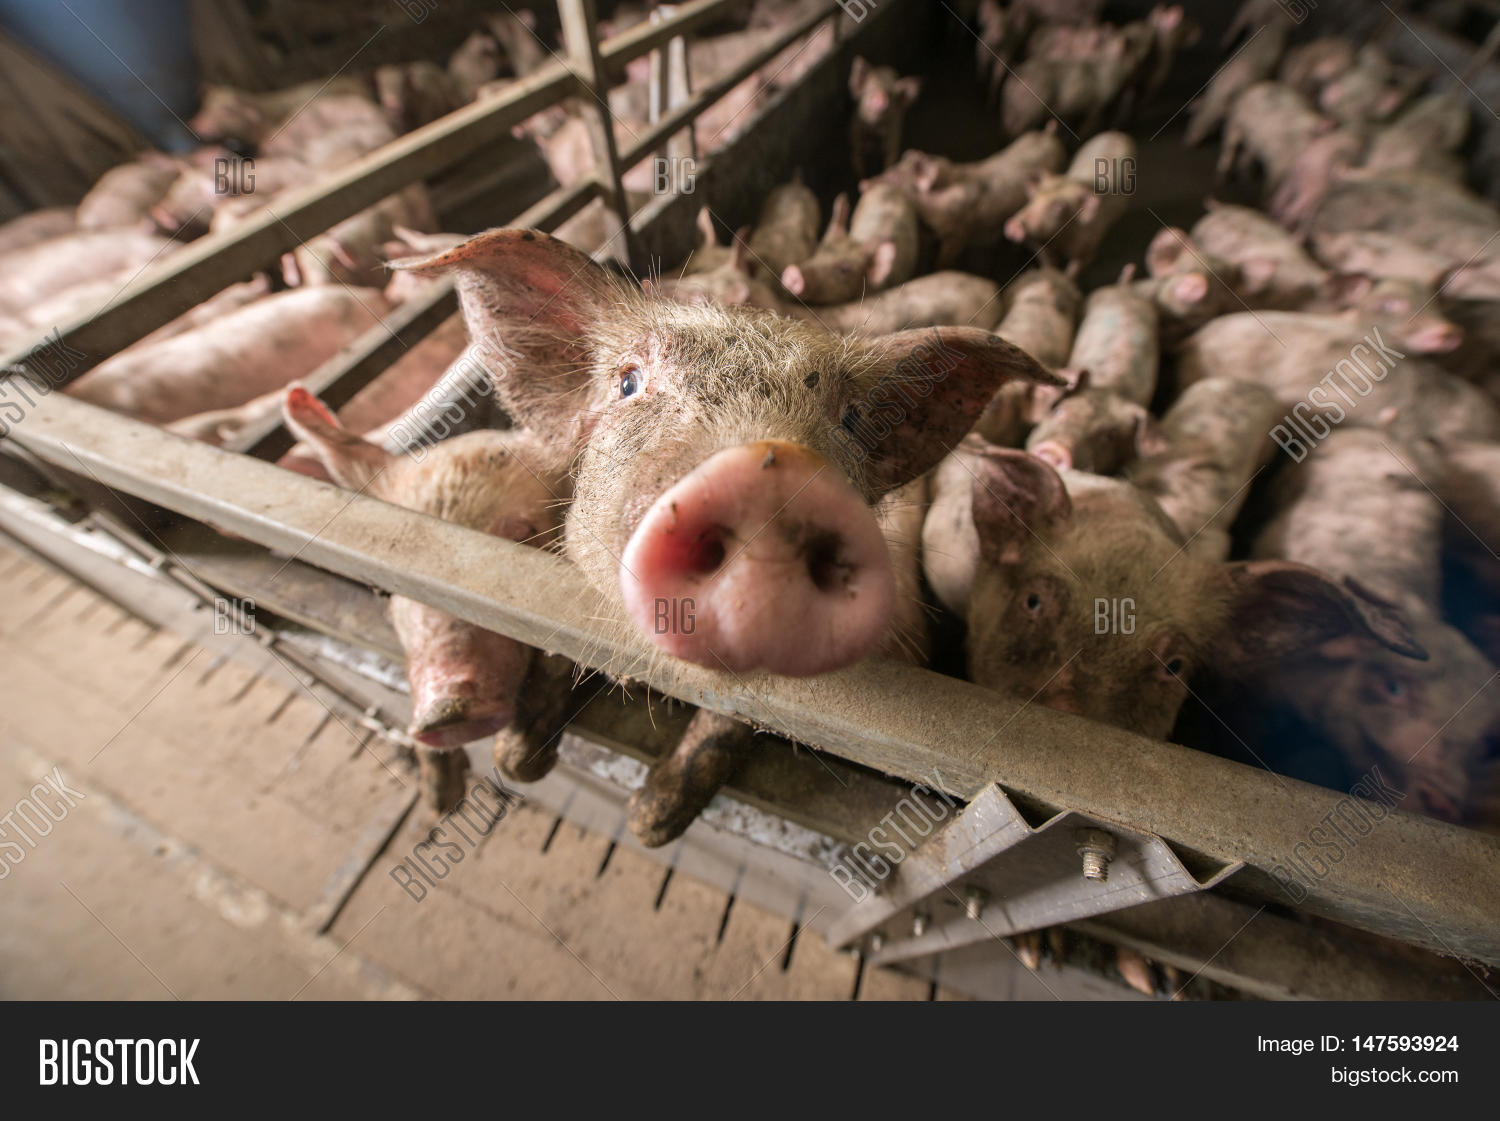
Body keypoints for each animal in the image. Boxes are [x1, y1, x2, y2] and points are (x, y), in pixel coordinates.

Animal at [1004, 132, 1136, 276]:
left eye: (1058, 207)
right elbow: (1048, 263)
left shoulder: (1088, 248)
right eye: (1034, 198)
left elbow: (1075, 267)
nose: (1014, 224)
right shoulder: (1043, 247)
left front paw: (1067, 277)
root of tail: (1115, 133)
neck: (1061, 240)